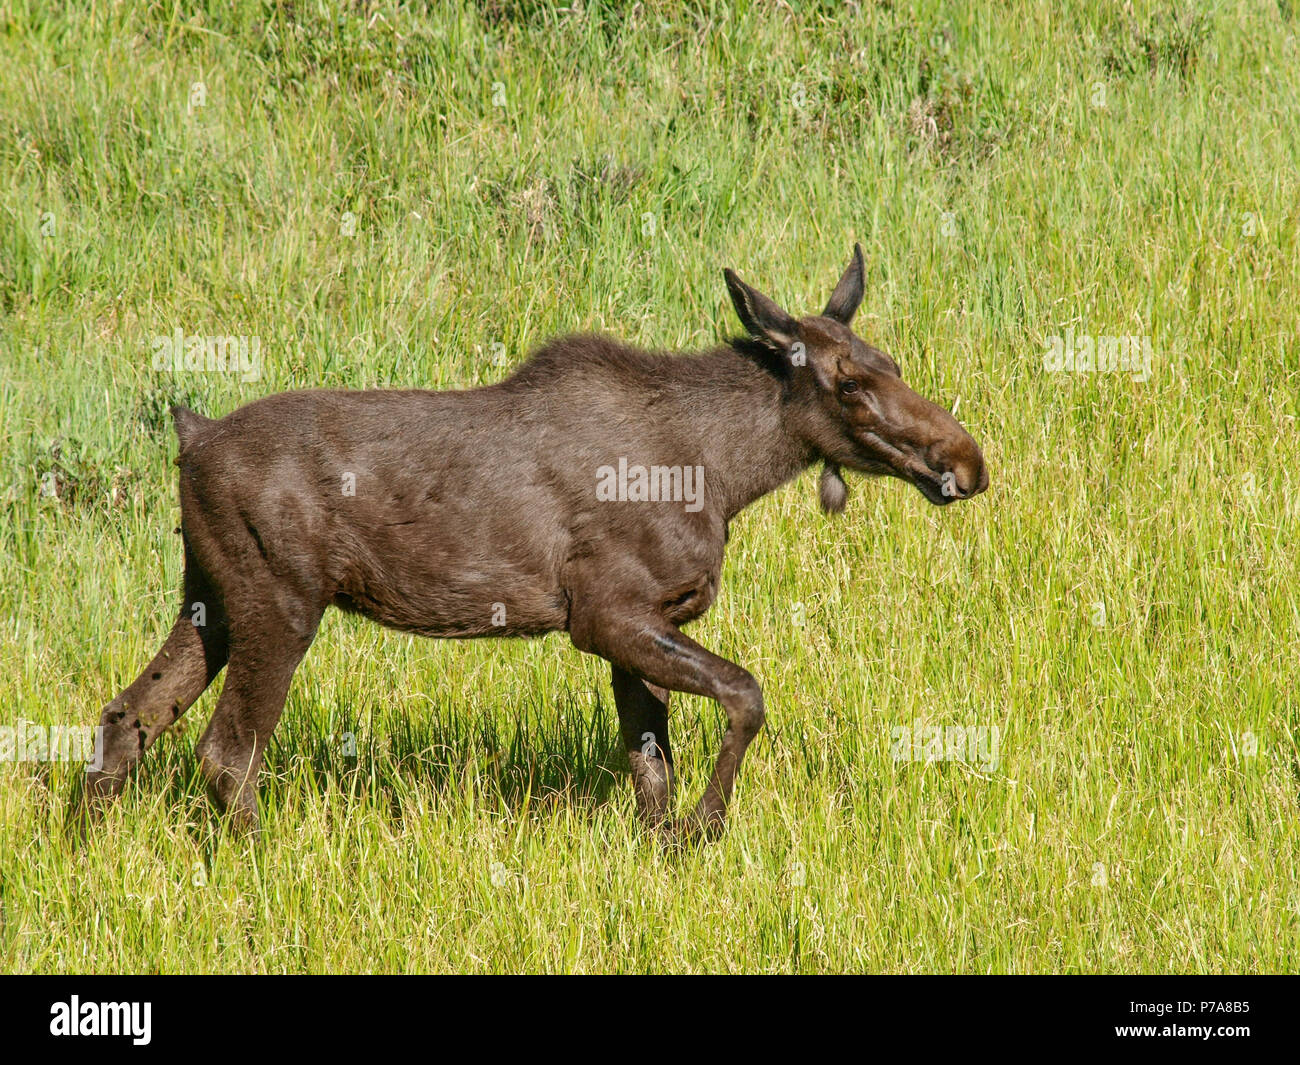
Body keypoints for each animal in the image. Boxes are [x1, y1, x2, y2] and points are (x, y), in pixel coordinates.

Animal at [75, 245, 988, 846]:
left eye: (892, 360)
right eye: (851, 384)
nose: (967, 461)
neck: (727, 472)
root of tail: (189, 437)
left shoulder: (637, 623)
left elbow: (651, 764)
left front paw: (665, 850)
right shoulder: (604, 614)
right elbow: (745, 694)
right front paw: (705, 826)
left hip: (209, 596)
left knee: (127, 714)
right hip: (280, 598)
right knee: (226, 750)